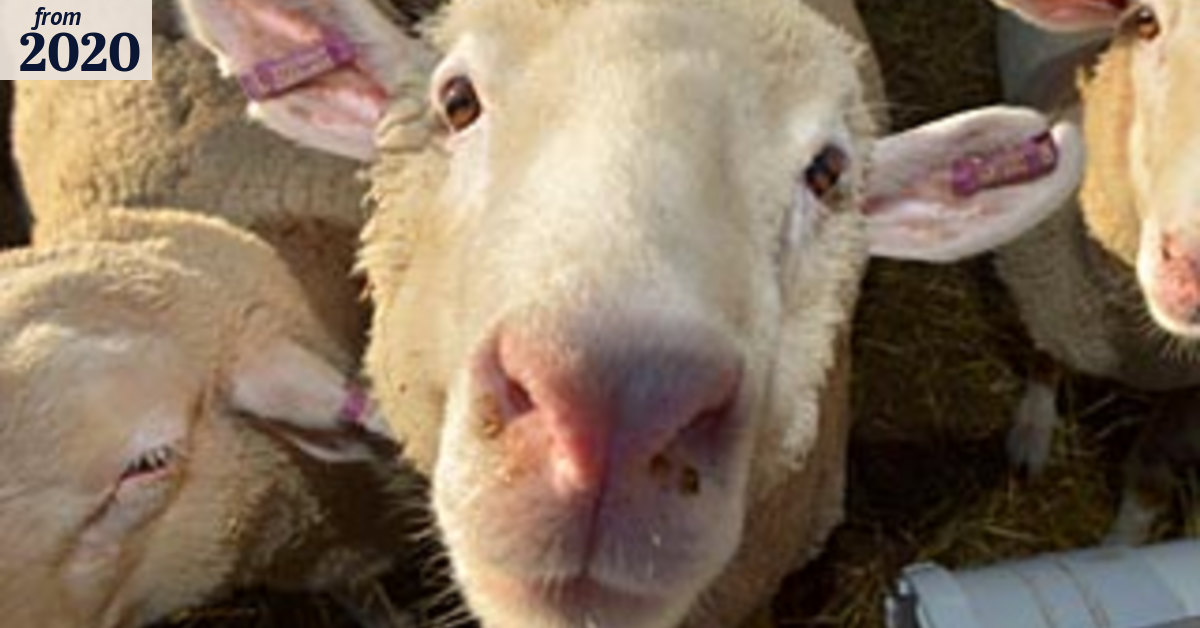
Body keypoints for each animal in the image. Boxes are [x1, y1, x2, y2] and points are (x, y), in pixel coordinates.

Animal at [991, 0, 1200, 543]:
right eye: (1145, 20)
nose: (1191, 268)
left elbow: (1149, 474)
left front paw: (1121, 547)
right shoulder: (1042, 297)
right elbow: (1043, 356)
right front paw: (1030, 433)